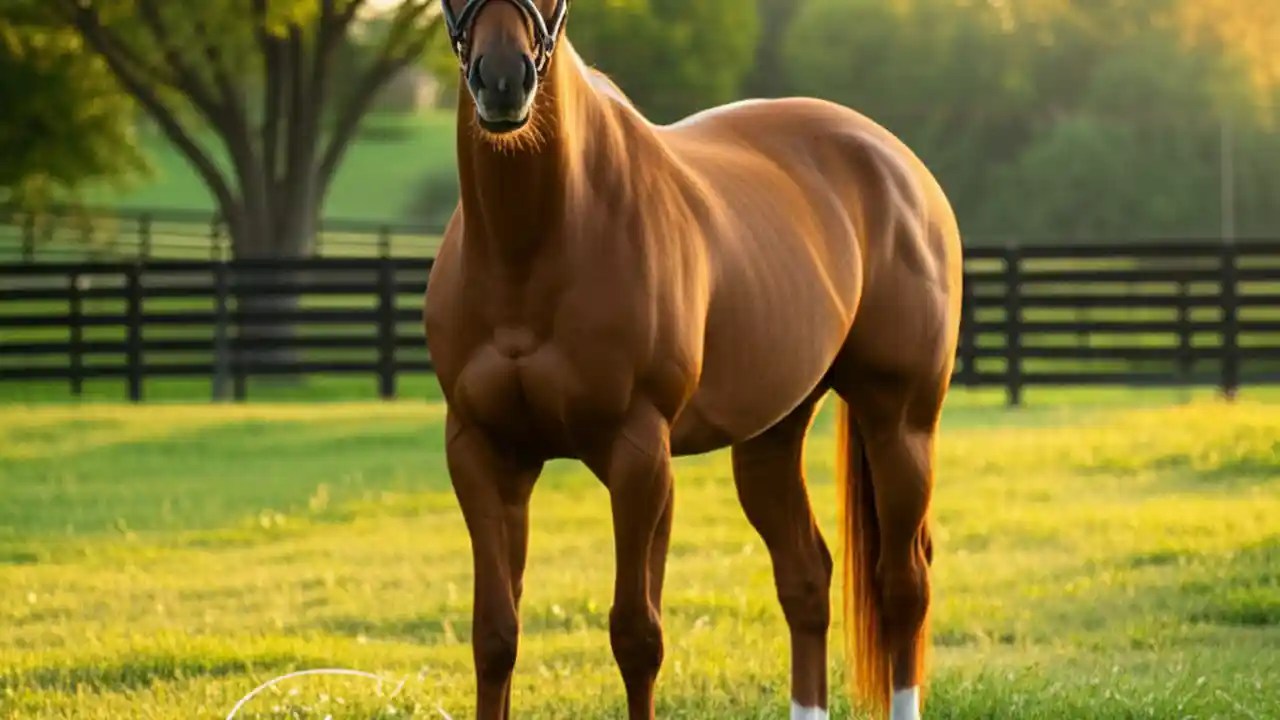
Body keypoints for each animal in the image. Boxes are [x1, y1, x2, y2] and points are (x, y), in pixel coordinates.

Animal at [423, 1, 963, 718]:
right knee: (806, 579)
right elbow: (495, 634)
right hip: (771, 437)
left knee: (903, 583)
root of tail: (900, 164)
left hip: (900, 421)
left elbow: (636, 634)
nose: (504, 80)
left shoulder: (639, 454)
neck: (535, 245)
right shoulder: (483, 453)